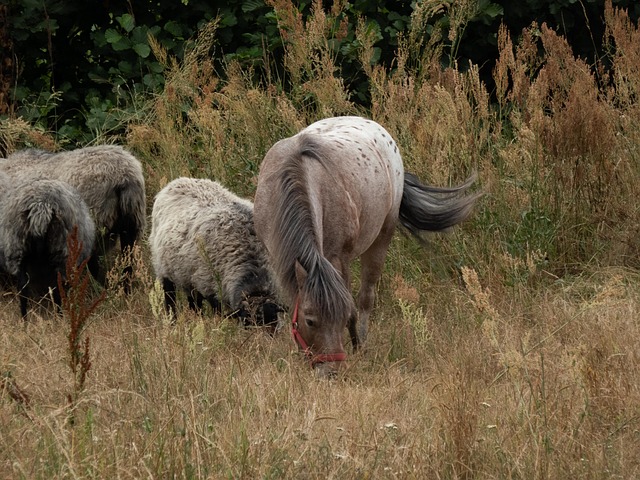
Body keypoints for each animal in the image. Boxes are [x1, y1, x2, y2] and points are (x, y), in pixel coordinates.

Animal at [0, 175, 96, 318]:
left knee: (23, 290)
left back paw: (25, 319)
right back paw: (60, 316)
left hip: (17, 249)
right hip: (61, 254)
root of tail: (41, 207)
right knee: (56, 289)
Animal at [149, 177, 282, 327]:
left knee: (193, 302)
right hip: (164, 269)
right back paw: (173, 322)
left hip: (189, 276)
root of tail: (179, 180)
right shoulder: (209, 287)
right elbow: (217, 311)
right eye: (247, 324)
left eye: (273, 322)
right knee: (170, 299)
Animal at [253, 116, 481, 376]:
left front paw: (356, 346)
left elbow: (352, 305)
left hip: (381, 239)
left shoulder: (339, 258)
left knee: (366, 297)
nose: (330, 372)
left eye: (340, 318)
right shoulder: (276, 257)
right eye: (310, 320)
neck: (295, 175)